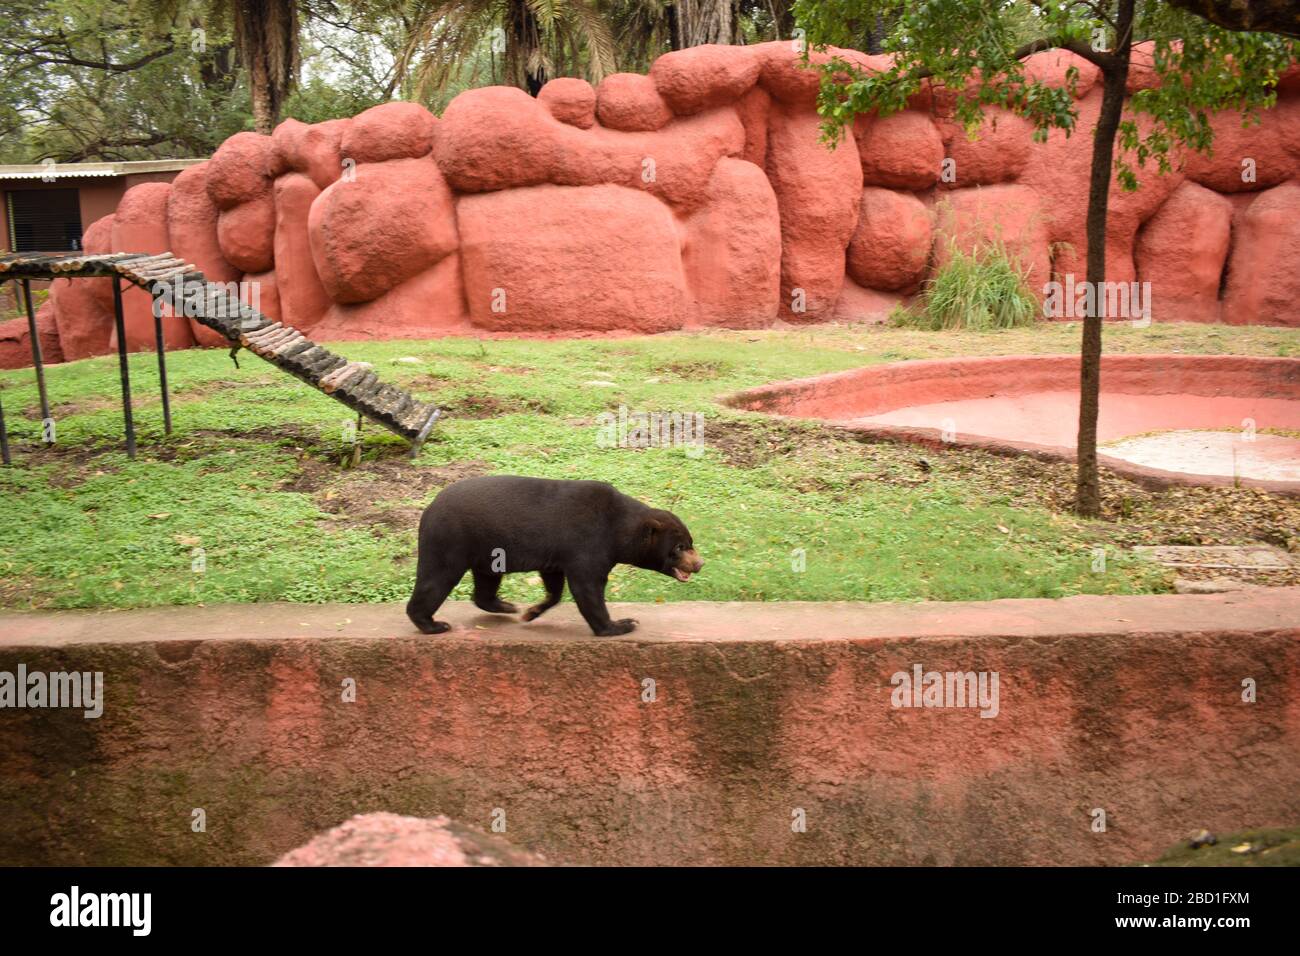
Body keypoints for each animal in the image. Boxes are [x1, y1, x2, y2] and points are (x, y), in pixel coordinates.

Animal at [407, 475, 703, 636]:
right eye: (679, 548)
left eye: (691, 543)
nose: (699, 563)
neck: (619, 528)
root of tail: (428, 509)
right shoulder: (588, 542)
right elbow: (588, 586)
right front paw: (621, 624)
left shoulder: (558, 552)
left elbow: (555, 583)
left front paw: (531, 612)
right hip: (450, 541)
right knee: (436, 579)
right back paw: (432, 624)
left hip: (486, 546)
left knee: (486, 581)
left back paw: (505, 606)